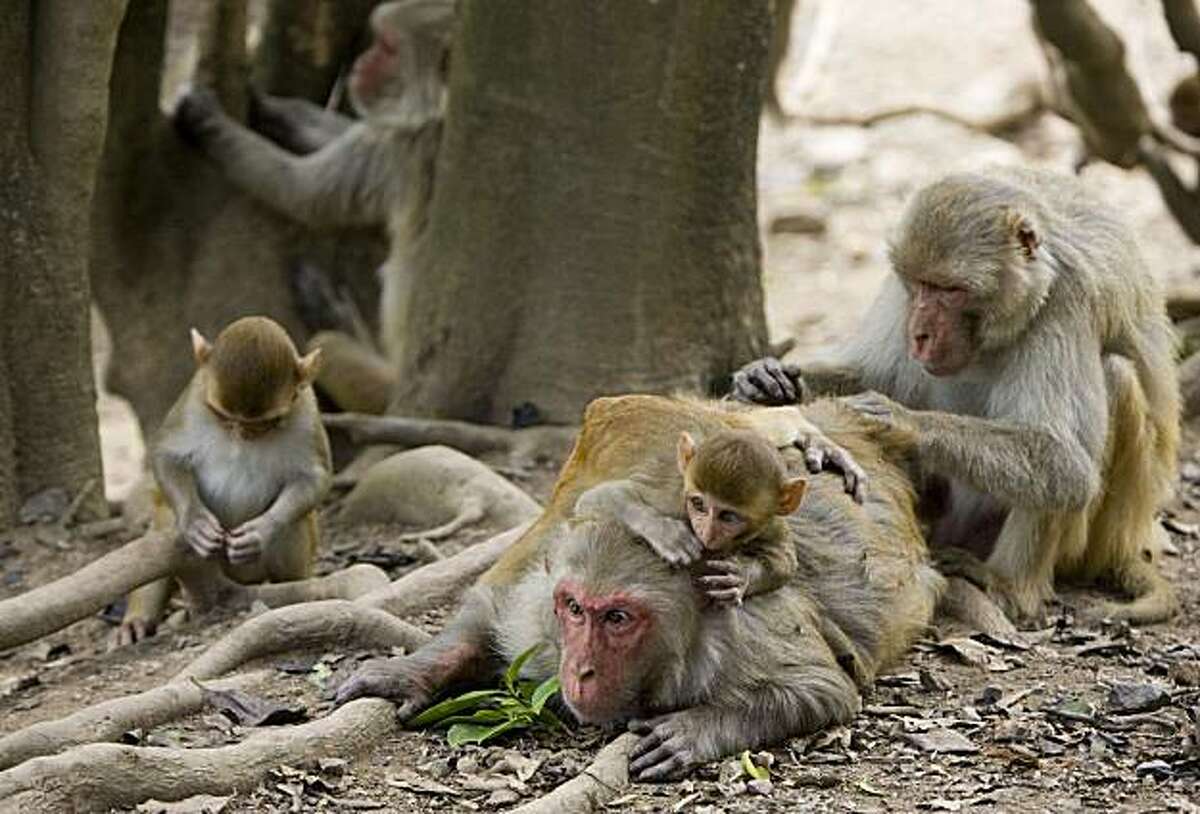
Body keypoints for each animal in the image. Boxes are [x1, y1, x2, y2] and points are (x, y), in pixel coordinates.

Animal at [118, 317, 333, 645]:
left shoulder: (307, 410)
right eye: (221, 415)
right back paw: (140, 619)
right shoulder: (194, 397)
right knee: (165, 524)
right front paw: (195, 522)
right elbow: (167, 456)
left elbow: (315, 478)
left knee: (294, 526)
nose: (241, 433)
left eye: (264, 424)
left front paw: (261, 531)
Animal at [173, 0, 454, 414]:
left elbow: (302, 192)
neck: (442, 110)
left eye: (387, 47)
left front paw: (207, 123)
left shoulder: (400, 149)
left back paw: (341, 329)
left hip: (383, 390)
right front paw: (273, 109)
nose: (361, 63)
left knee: (329, 347)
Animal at [677, 429, 806, 606]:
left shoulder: (771, 526)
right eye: (698, 504)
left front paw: (743, 576)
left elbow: (786, 563)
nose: (707, 534)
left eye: (729, 516)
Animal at [732, 166, 1180, 626]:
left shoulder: (1068, 302)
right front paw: (765, 379)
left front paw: (900, 421)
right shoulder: (900, 292)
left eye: (950, 290)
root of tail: (1128, 540)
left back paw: (1009, 587)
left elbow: (1067, 464)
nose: (920, 334)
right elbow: (872, 373)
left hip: (1093, 541)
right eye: (919, 284)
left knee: (1112, 379)